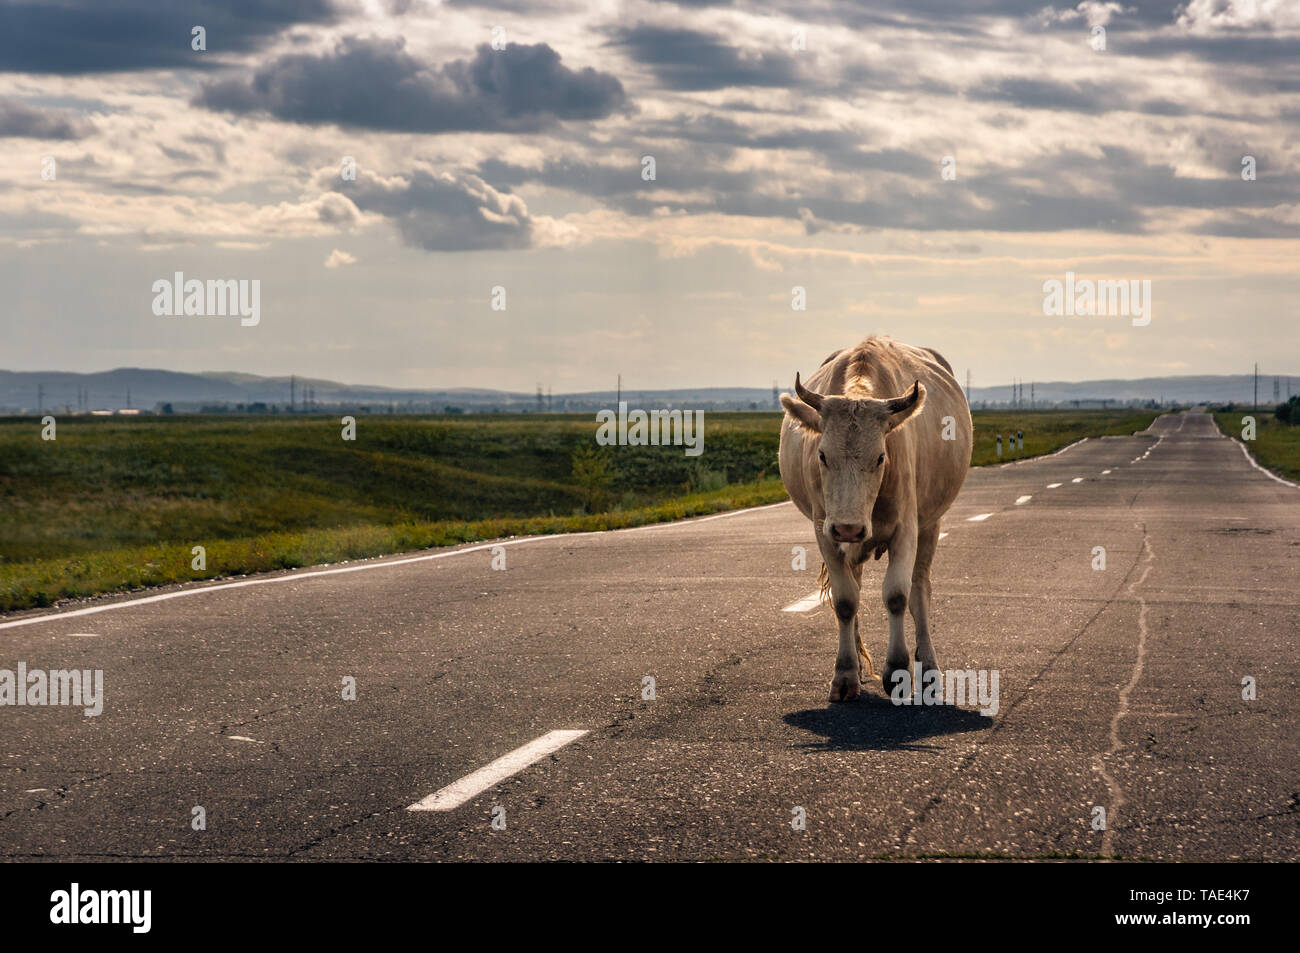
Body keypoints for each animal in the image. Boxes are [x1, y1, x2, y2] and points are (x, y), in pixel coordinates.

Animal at [778, 337, 972, 702]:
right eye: (822, 455)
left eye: (880, 457)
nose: (848, 526)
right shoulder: (824, 531)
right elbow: (844, 600)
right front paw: (844, 674)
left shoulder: (906, 530)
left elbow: (897, 595)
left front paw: (897, 670)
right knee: (854, 589)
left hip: (930, 525)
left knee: (920, 590)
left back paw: (929, 668)